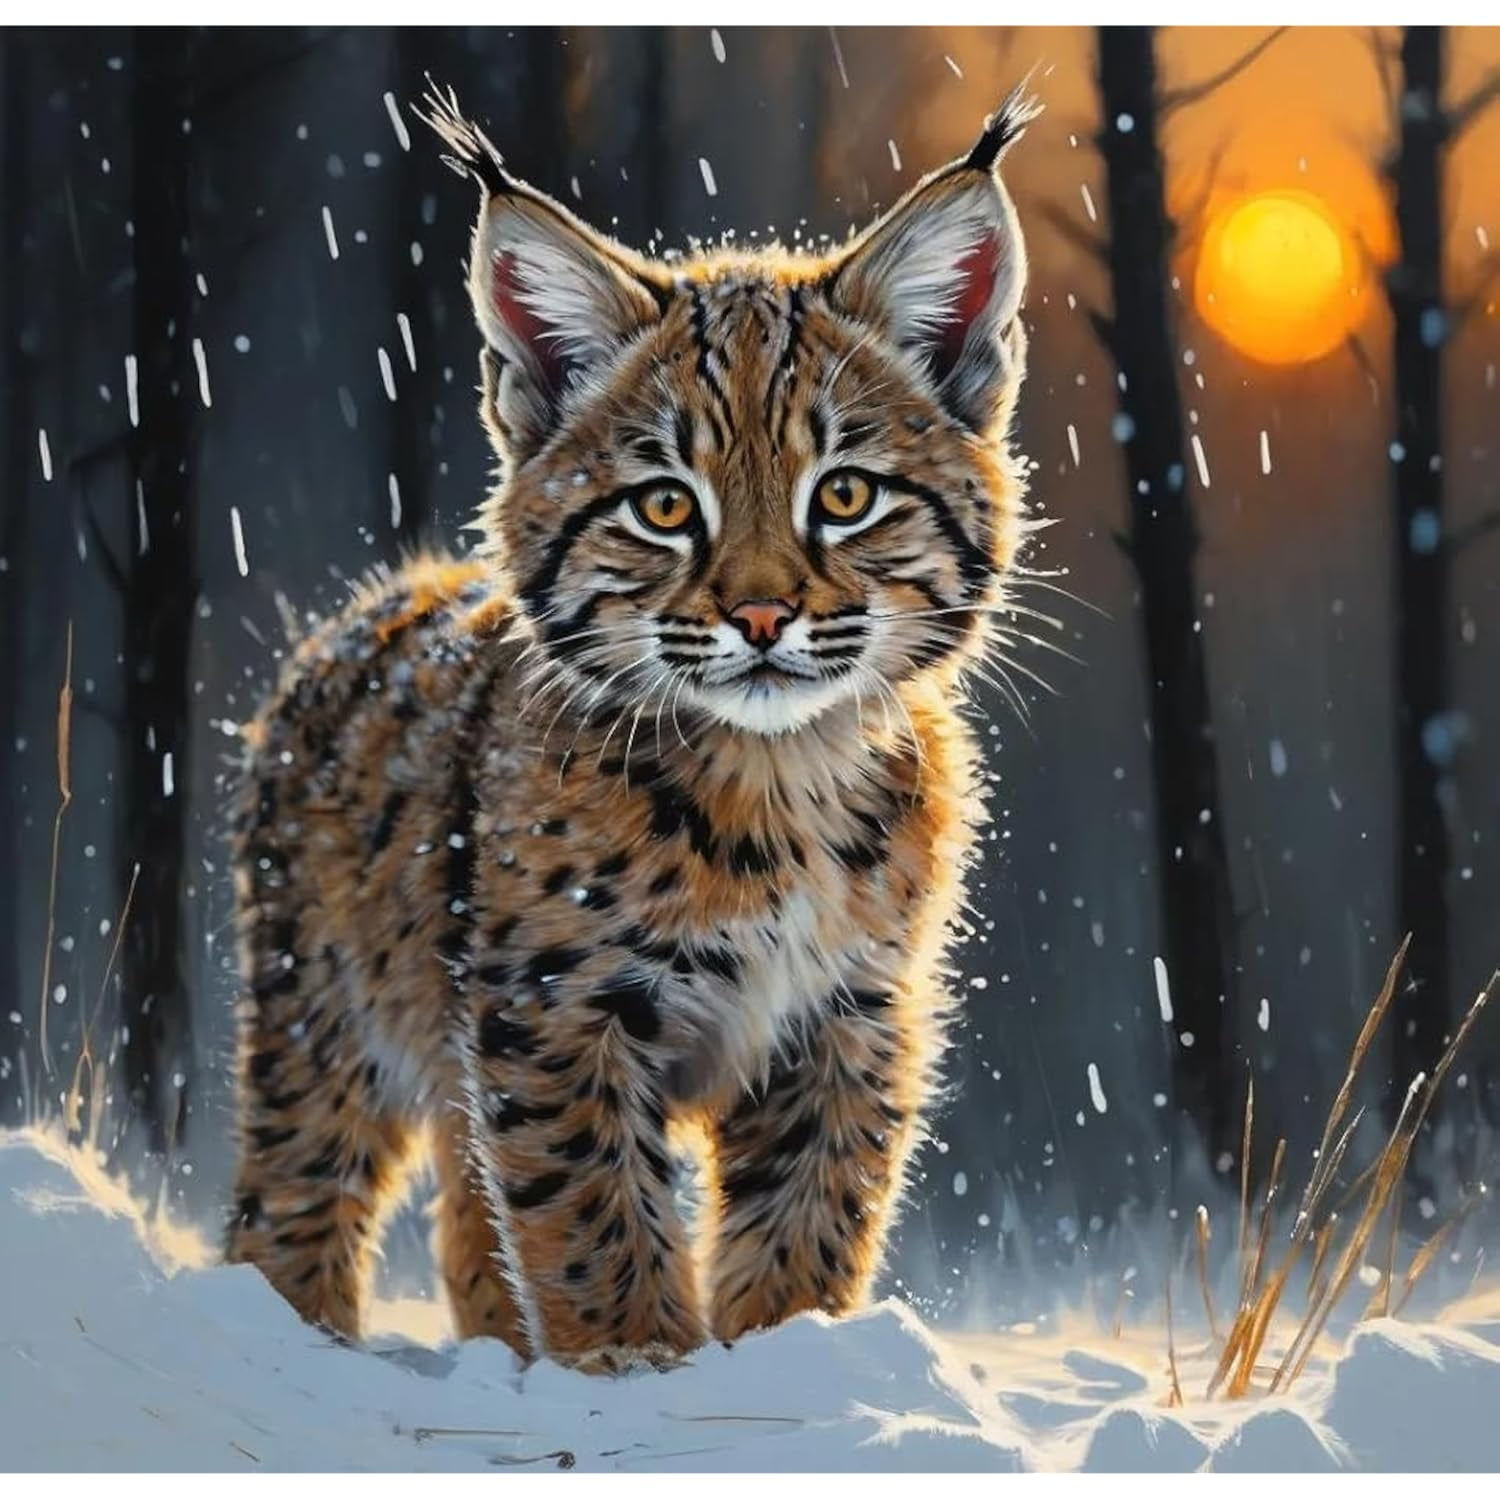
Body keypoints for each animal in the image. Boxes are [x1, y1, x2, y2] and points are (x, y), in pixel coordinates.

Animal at [224, 83, 1038, 1373]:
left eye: (844, 495)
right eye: (664, 507)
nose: (761, 616)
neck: (777, 774)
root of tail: (362, 611)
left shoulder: (851, 1009)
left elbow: (812, 1213)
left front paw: (790, 1362)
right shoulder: (558, 1008)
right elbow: (592, 1209)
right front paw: (631, 1367)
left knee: (465, 1224)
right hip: (321, 1010)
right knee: (295, 1200)